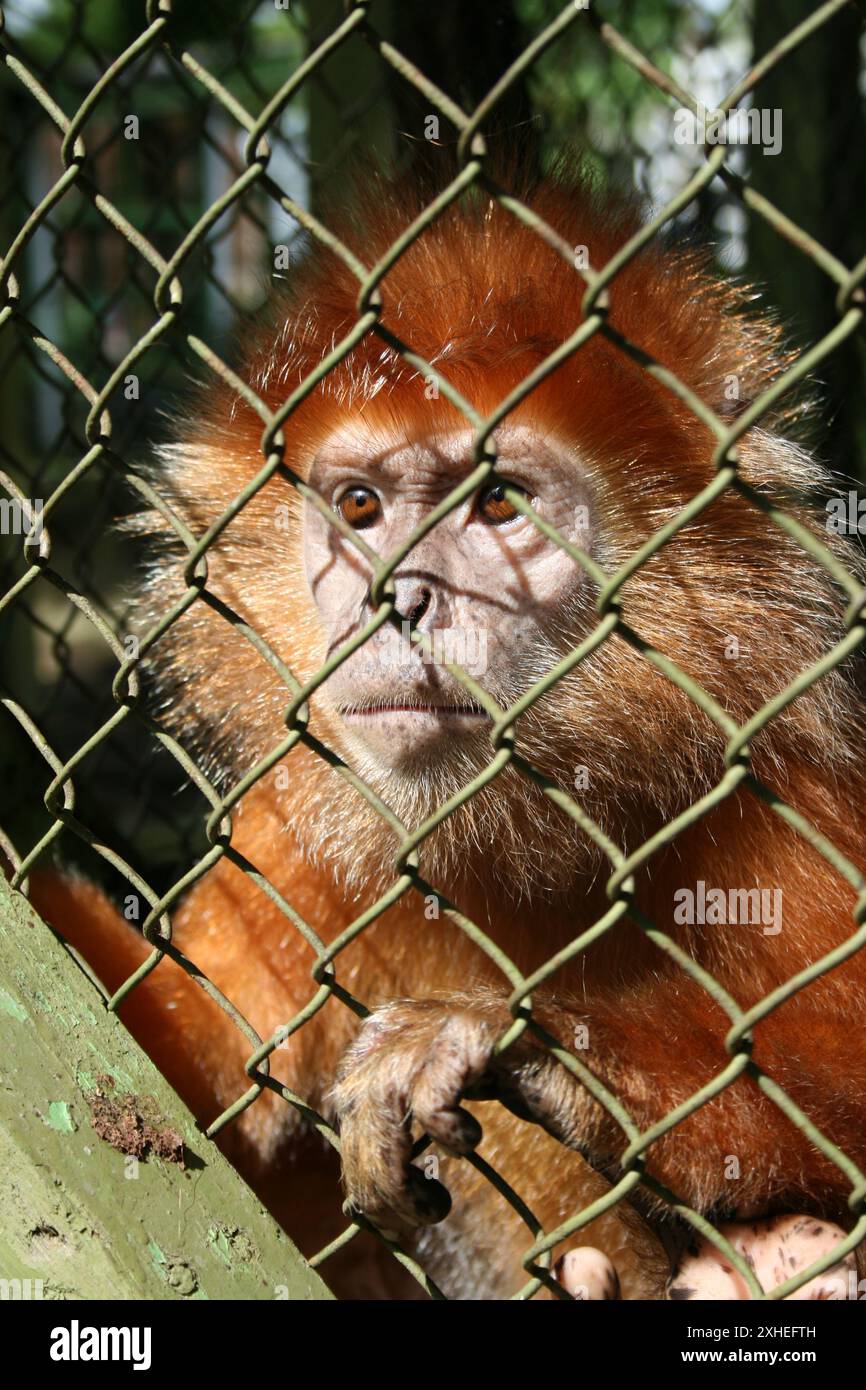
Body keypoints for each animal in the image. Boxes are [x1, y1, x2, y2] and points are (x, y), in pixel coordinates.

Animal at [27, 162, 866, 1300]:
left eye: (501, 503)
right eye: (359, 506)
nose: (399, 598)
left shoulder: (787, 789)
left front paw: (525, 1040)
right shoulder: (292, 825)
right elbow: (167, 1096)